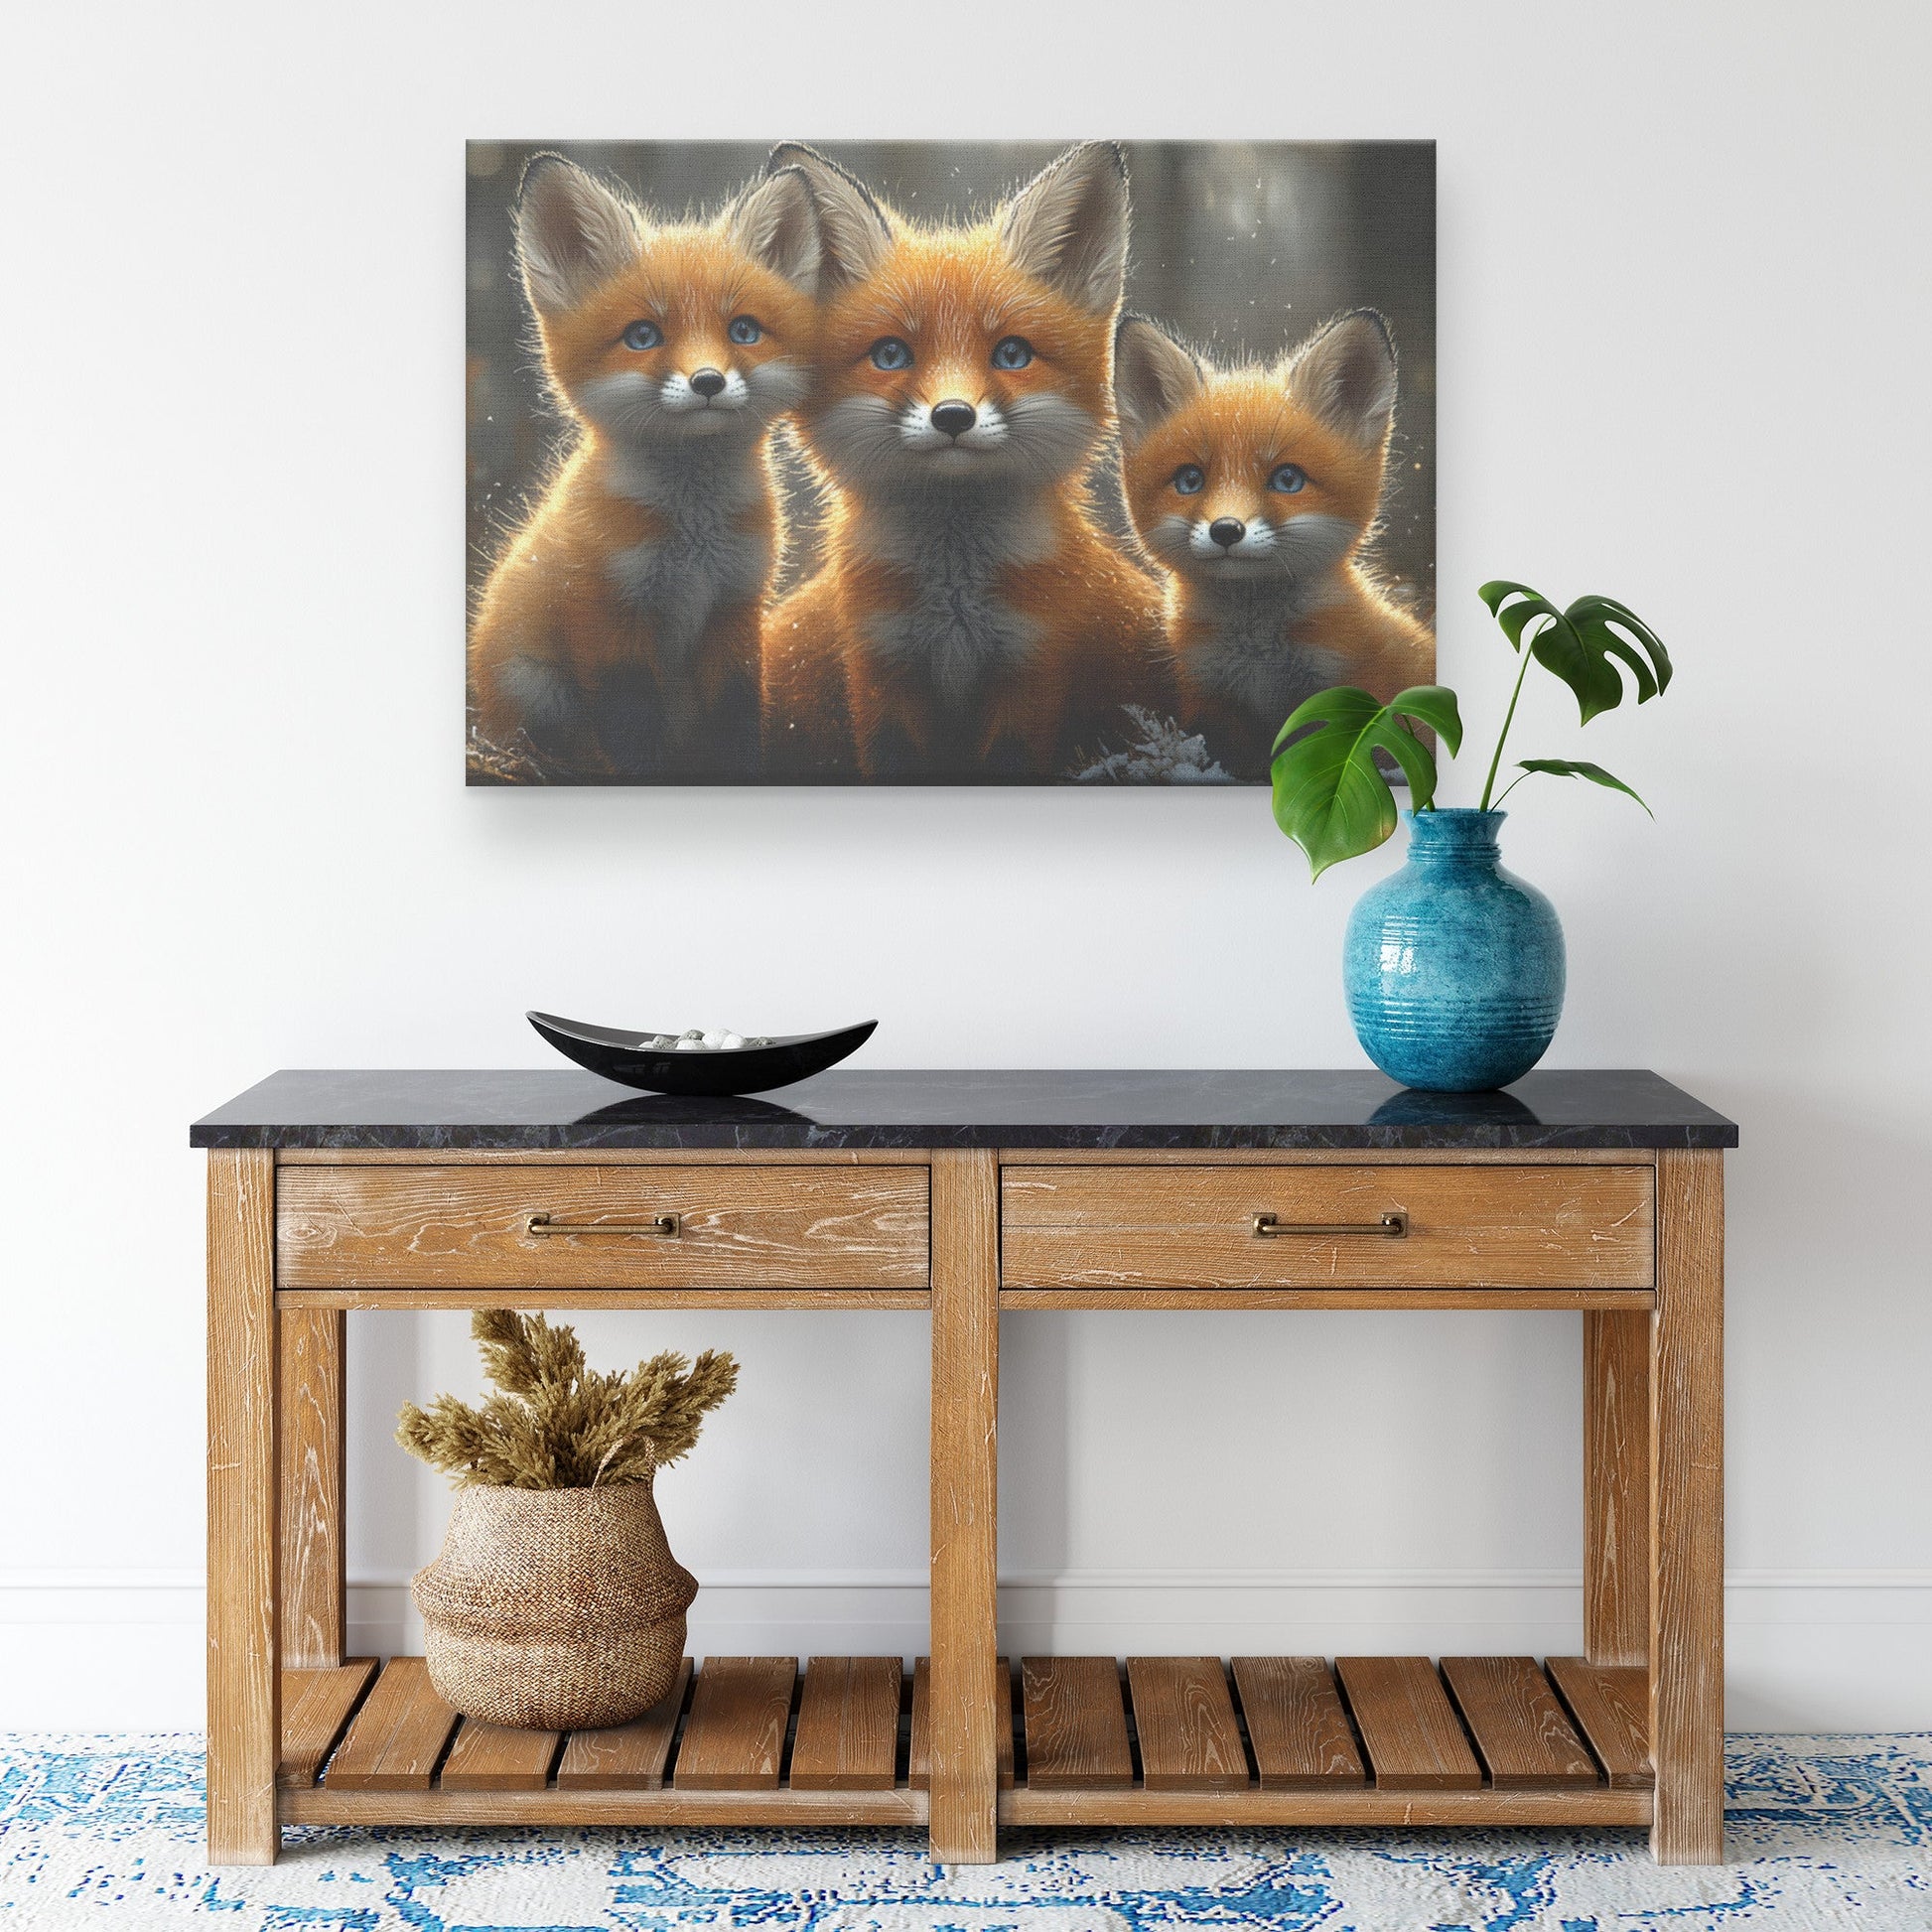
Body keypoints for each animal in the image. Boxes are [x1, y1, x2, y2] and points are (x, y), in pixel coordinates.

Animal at [468, 155, 821, 780]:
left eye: (744, 330)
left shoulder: (734, 611)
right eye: (642, 336)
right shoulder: (608, 620)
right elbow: (633, 733)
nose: (707, 381)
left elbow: (737, 725)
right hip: (534, 686)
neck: (693, 543)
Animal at [759, 141, 1171, 781]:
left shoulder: (1032, 669)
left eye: (1011, 354)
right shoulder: (881, 670)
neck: (954, 618)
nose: (953, 415)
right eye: (890, 354)